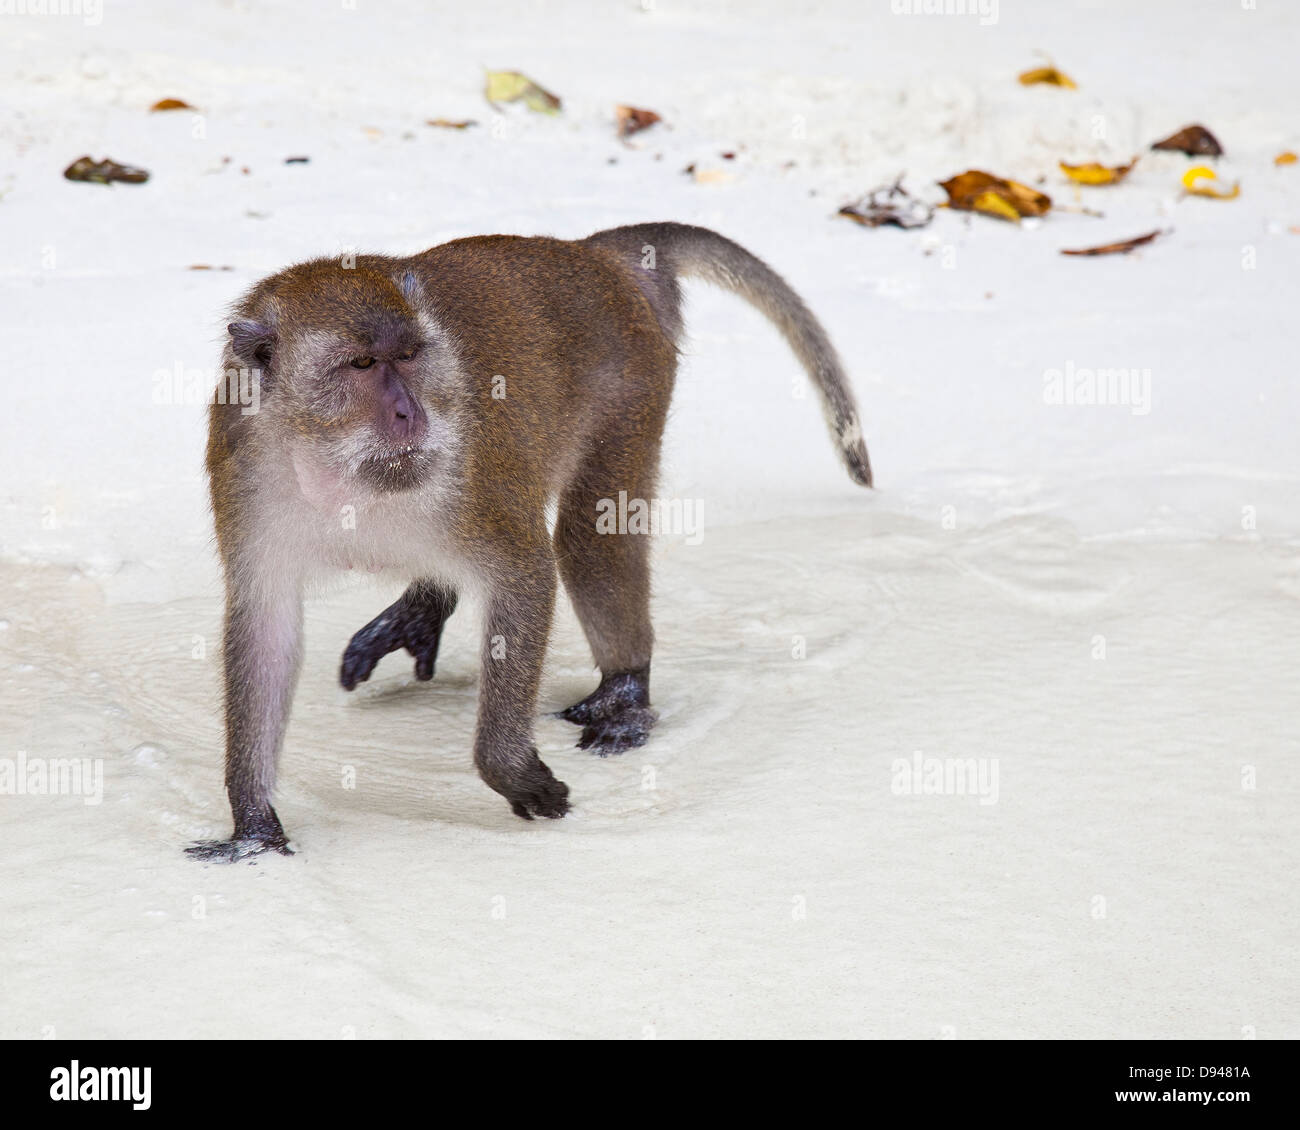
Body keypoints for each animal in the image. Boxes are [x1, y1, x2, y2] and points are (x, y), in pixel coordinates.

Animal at [186, 222, 872, 861]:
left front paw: (510, 770)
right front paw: (254, 826)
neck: (336, 470)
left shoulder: (468, 478)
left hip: (634, 379)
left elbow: (526, 576)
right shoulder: (245, 477)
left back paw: (626, 690)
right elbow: (266, 628)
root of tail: (588, 253)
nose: (412, 413)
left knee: (589, 535)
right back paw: (427, 606)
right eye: (361, 365)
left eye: (407, 355)